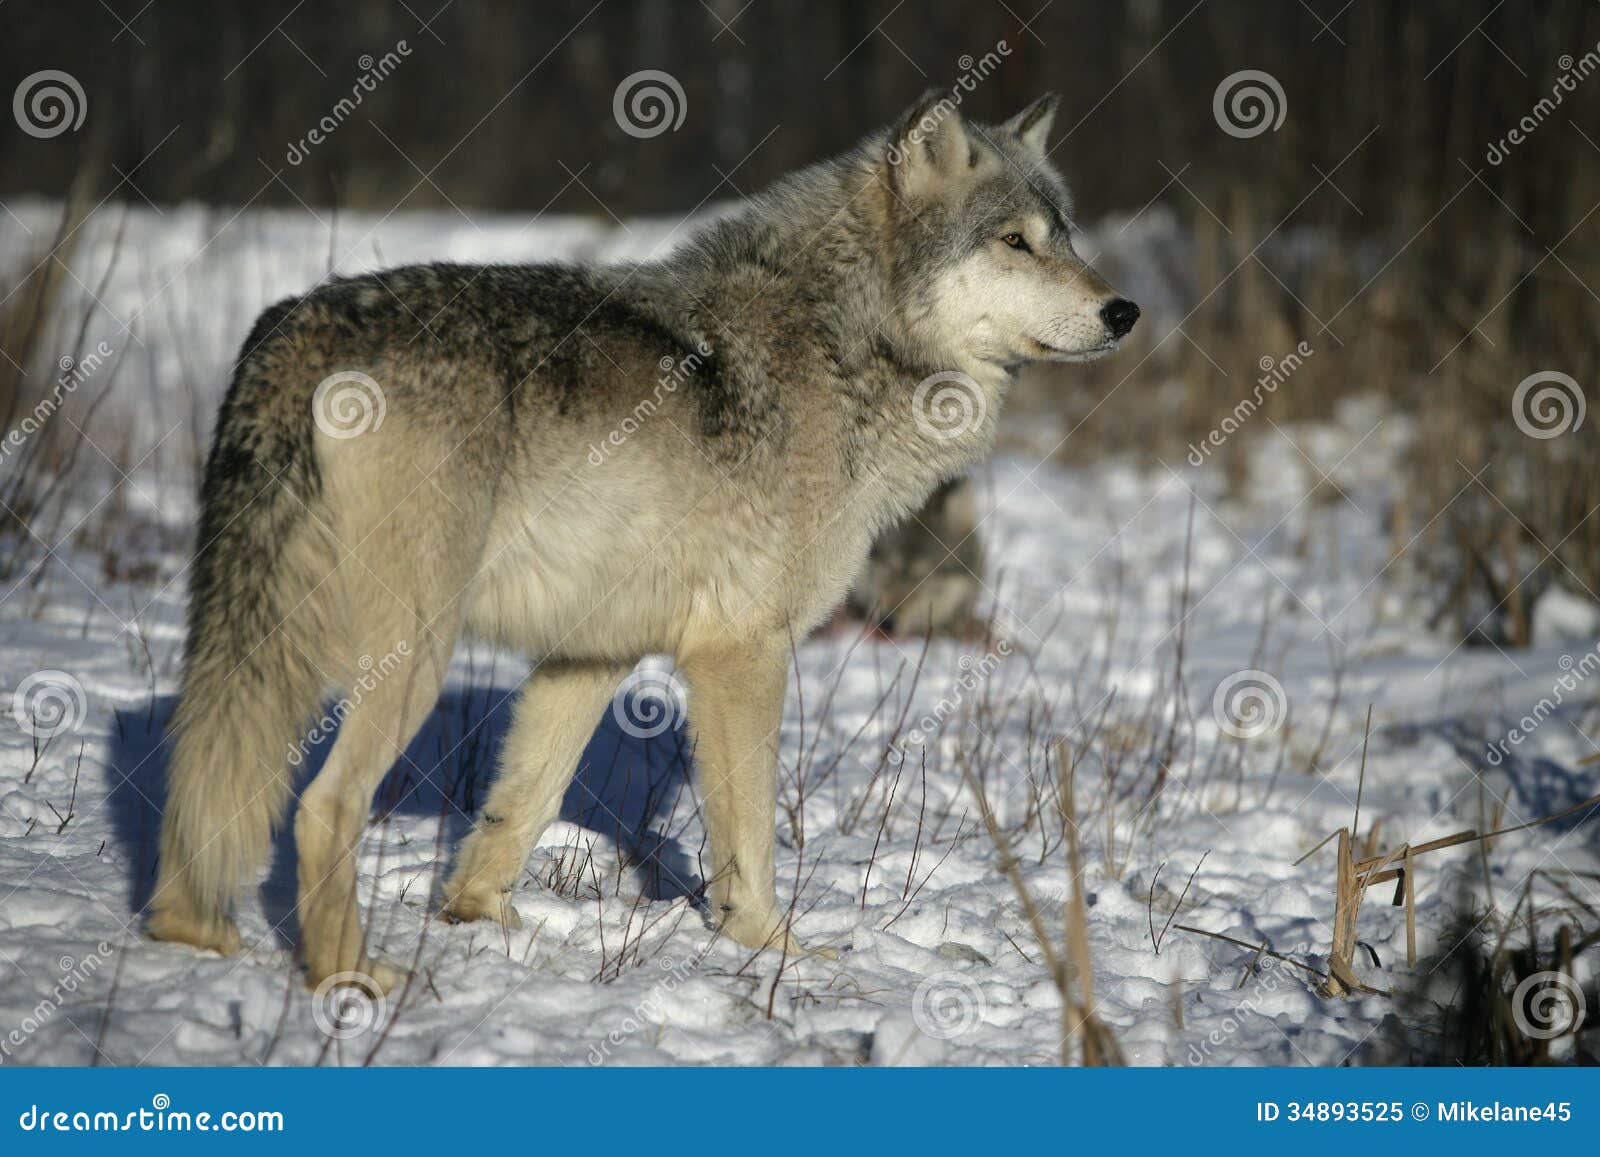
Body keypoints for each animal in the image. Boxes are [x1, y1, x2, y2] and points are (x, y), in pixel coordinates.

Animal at [147, 91, 1138, 991]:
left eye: (1067, 235)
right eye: (1015, 242)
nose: (1124, 311)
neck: (846, 341)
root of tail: (301, 323)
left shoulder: (592, 652)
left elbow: (523, 802)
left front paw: (482, 923)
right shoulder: (741, 652)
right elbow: (748, 837)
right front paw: (772, 950)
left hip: (261, 641)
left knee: (202, 780)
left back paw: (187, 936)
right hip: (408, 654)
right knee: (321, 806)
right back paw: (352, 977)